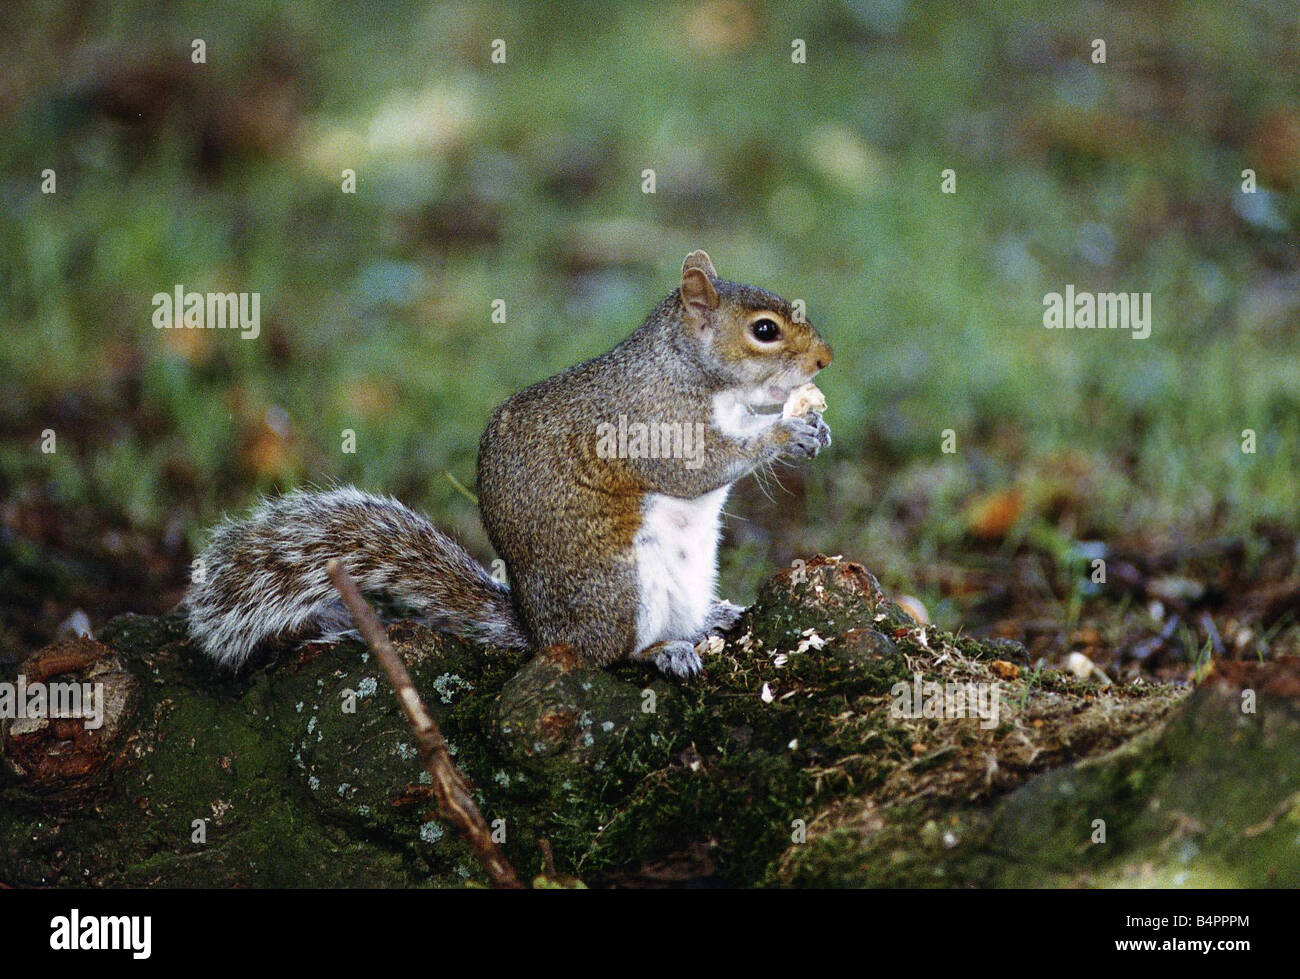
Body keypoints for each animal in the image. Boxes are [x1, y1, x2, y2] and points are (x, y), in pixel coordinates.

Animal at [184, 250, 832, 678]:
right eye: (765, 330)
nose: (826, 359)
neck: (690, 370)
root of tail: (540, 631)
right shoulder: (654, 422)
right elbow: (699, 468)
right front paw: (786, 432)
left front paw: (811, 427)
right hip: (620, 591)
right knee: (607, 655)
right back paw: (664, 651)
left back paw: (710, 620)